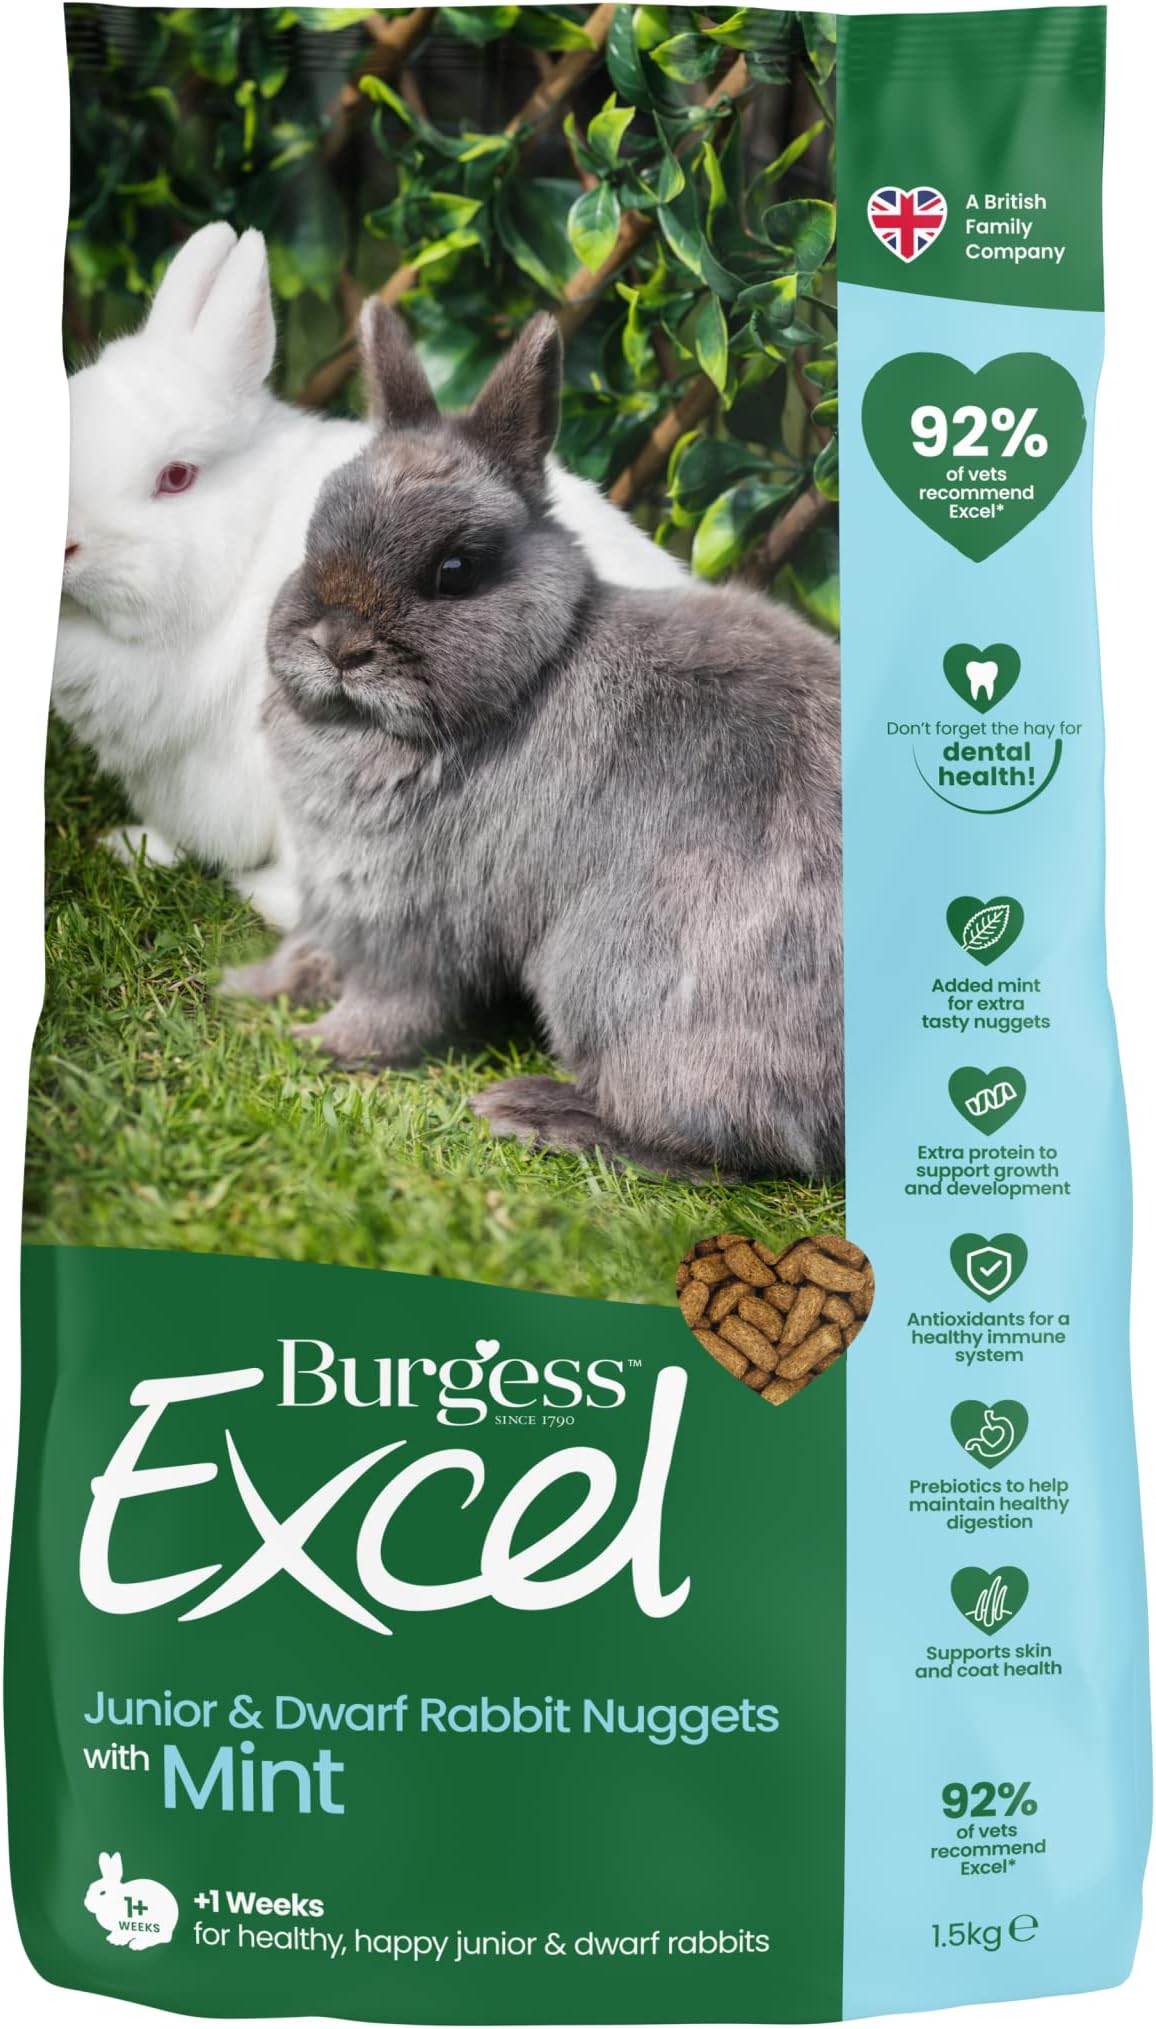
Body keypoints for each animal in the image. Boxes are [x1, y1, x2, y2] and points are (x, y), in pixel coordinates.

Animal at [234, 304, 843, 1180]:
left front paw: (320, 1042)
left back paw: (532, 1110)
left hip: (609, 976)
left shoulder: (410, 919)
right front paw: (249, 985)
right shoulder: (334, 893)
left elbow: (390, 1008)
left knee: (721, 1142)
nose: (338, 646)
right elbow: (306, 950)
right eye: (315, 536)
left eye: (454, 570)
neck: (531, 674)